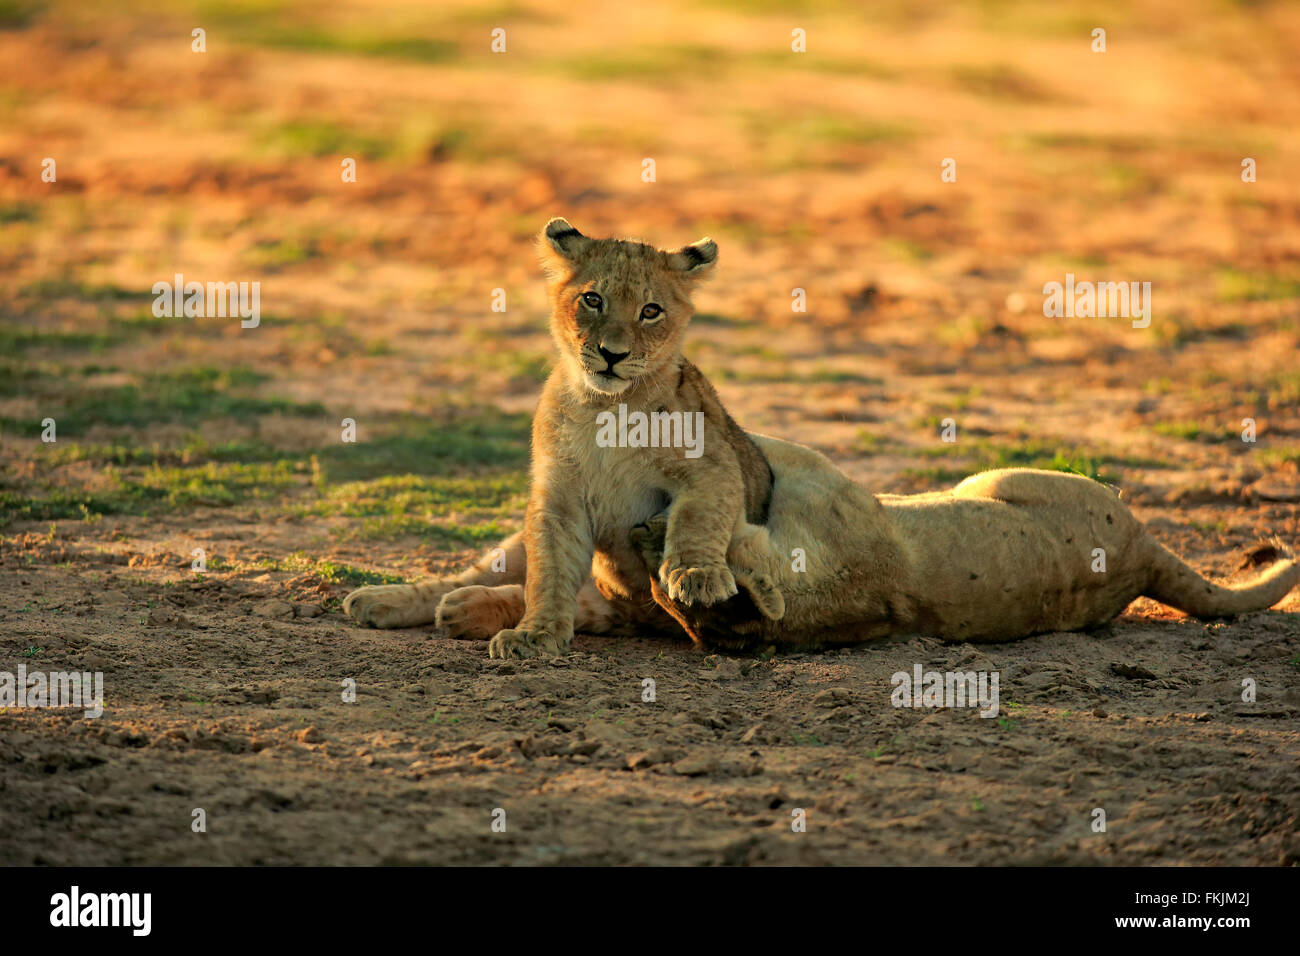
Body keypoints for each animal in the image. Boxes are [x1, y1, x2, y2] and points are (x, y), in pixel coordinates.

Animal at [343, 220, 1299, 657]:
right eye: (592, 300)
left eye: (650, 311)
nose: (610, 351)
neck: (606, 406)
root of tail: (1141, 548)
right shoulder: (555, 505)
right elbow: (547, 575)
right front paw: (533, 636)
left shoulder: (716, 470)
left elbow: (699, 520)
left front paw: (691, 573)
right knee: (485, 572)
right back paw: (395, 601)